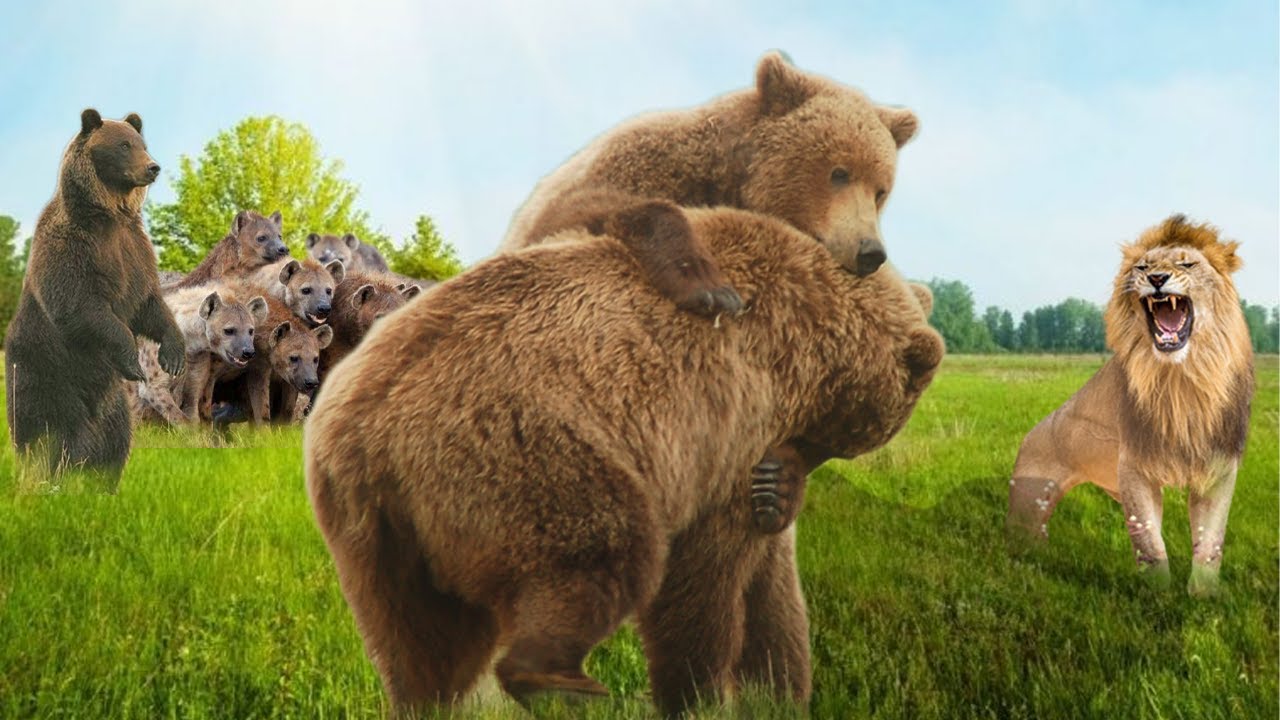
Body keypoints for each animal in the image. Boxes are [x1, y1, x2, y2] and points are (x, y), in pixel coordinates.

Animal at [4, 109, 185, 483]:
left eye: (143, 143)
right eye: (123, 145)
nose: (153, 167)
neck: (109, 214)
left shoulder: (134, 251)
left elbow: (149, 304)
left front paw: (173, 356)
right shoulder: (72, 249)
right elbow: (82, 307)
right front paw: (134, 360)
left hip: (114, 403)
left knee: (116, 440)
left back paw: (102, 480)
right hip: (43, 372)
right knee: (44, 433)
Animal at [305, 204, 942, 716]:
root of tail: (367, 429)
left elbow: (773, 589)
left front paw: (778, 692)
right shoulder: (725, 423)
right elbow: (701, 581)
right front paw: (698, 694)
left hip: (373, 534)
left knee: (420, 643)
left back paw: (429, 700)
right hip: (522, 451)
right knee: (605, 549)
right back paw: (558, 681)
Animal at [503, 51, 921, 536]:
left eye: (881, 190)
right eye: (839, 172)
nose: (870, 251)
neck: (733, 178)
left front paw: (781, 485)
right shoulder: (631, 170)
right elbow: (589, 213)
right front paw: (709, 286)